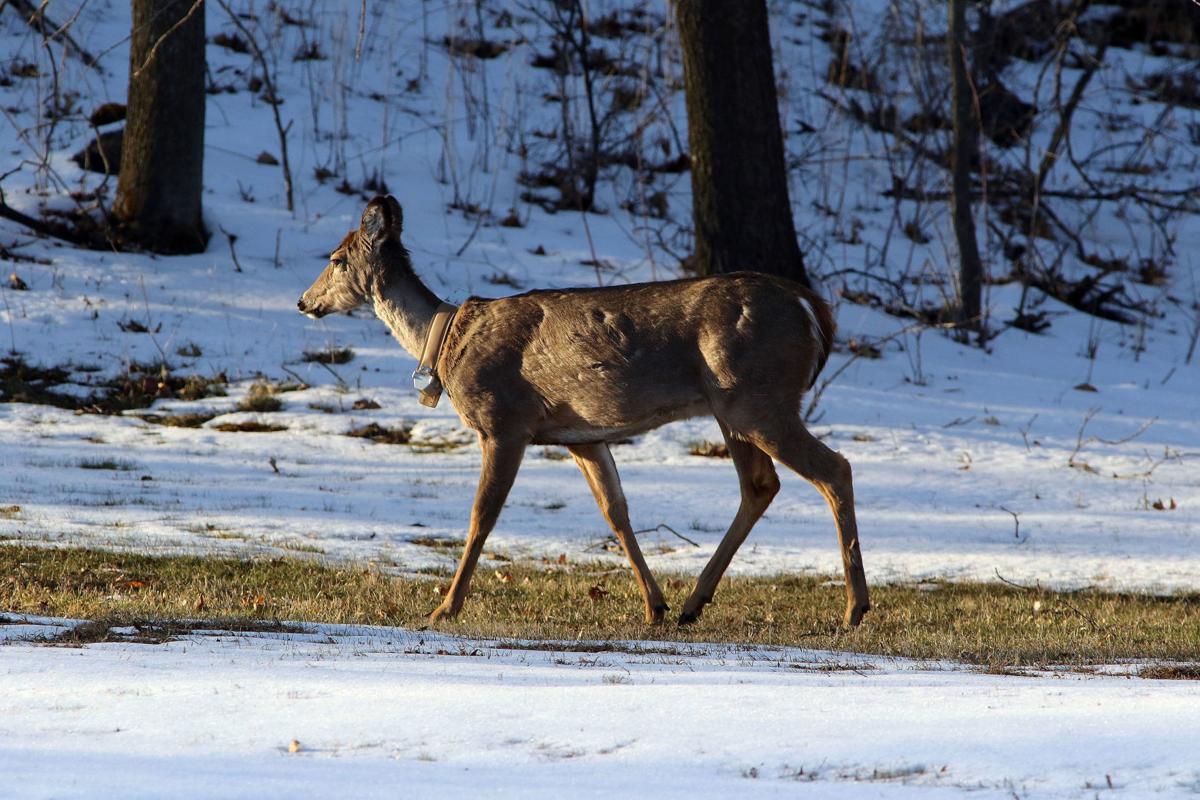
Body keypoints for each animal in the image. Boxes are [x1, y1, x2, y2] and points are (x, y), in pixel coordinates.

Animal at [298, 196, 870, 628]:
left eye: (336, 258)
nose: (305, 302)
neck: (444, 346)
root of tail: (813, 311)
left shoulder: (504, 420)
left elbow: (482, 515)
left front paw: (445, 608)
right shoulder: (583, 436)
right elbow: (616, 511)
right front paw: (654, 605)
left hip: (757, 397)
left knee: (833, 469)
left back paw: (853, 609)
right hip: (732, 408)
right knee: (760, 484)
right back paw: (692, 603)